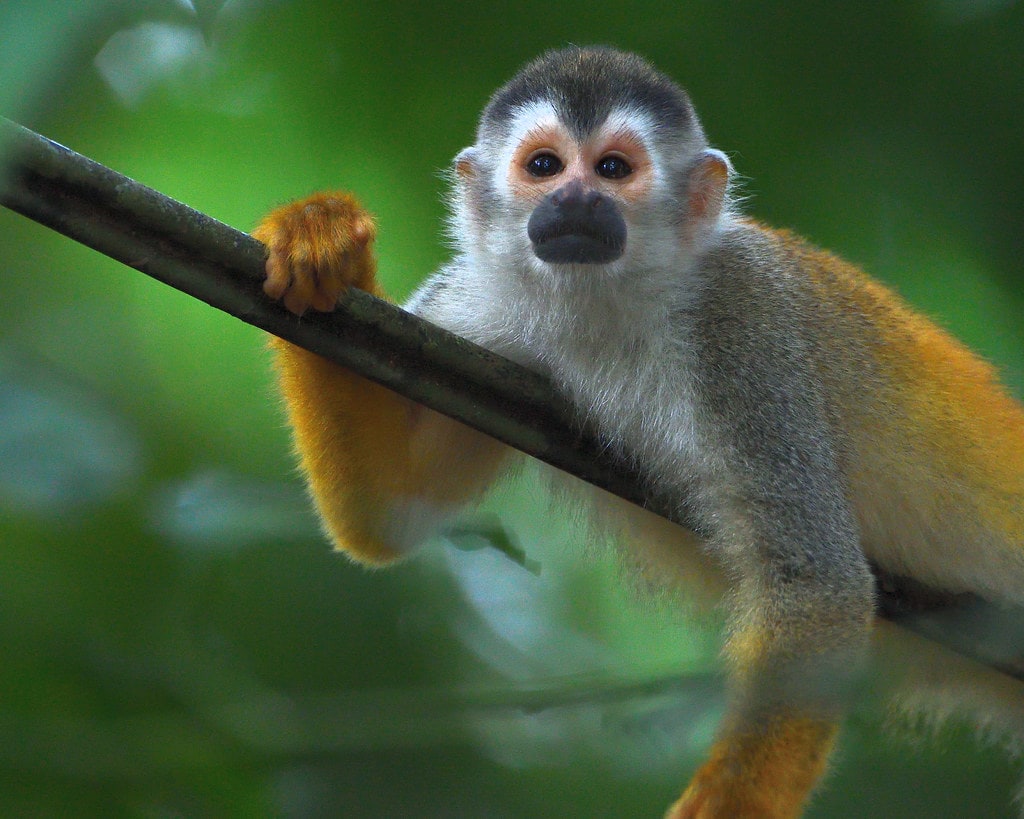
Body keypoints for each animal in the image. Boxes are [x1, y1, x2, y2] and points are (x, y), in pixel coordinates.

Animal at [253, 47, 1024, 818]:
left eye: (613, 169)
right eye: (544, 166)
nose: (576, 200)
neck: (606, 302)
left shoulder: (744, 323)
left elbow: (816, 584)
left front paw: (723, 806)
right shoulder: (471, 306)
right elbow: (386, 515)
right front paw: (323, 244)